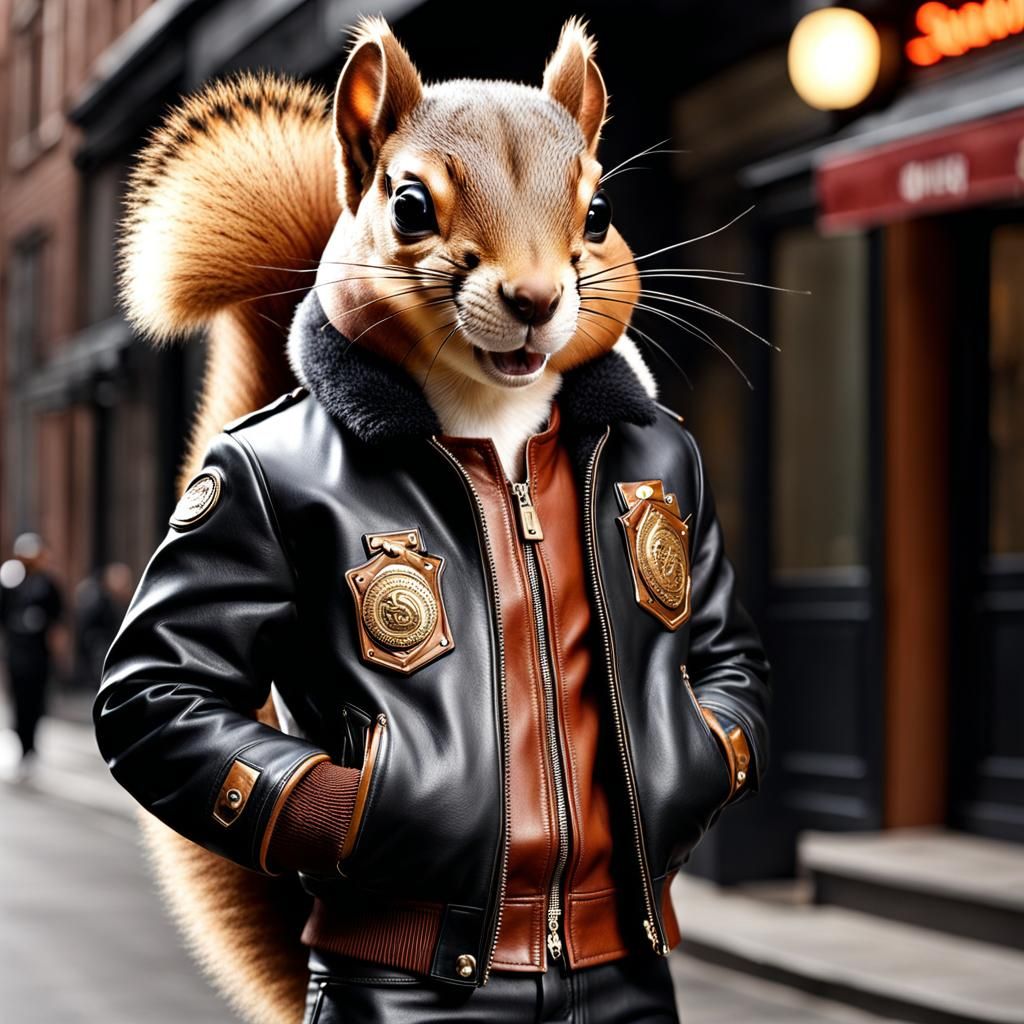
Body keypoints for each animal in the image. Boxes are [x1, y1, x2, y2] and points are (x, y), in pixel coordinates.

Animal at [119, 16, 656, 1024]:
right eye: (409, 205)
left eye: (601, 210)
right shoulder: (233, 489)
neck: (495, 422)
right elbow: (159, 681)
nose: (536, 300)